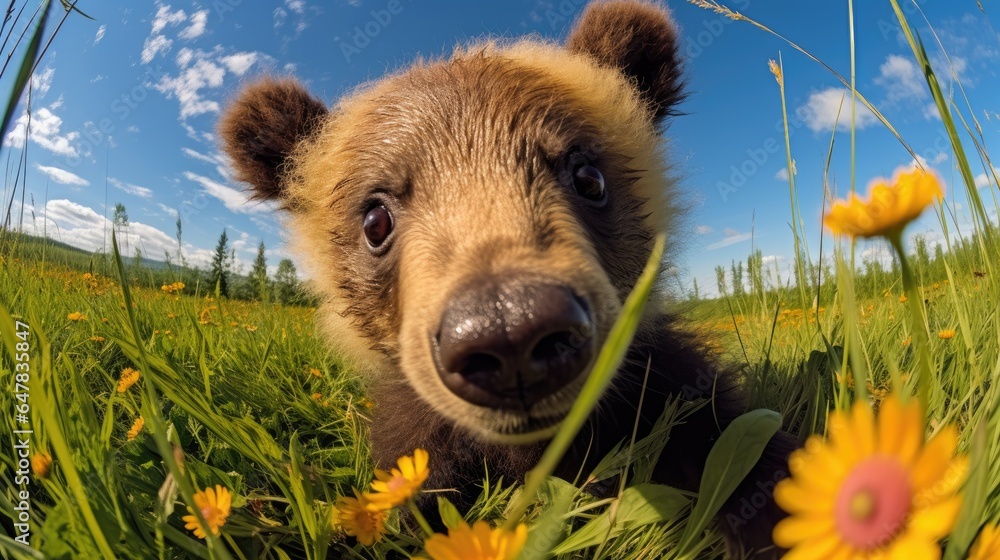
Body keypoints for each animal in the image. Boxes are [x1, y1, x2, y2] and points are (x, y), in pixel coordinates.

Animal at [220, 1, 795, 557]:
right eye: (374, 218)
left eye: (588, 176)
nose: (509, 330)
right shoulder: (416, 437)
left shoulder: (660, 392)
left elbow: (737, 447)